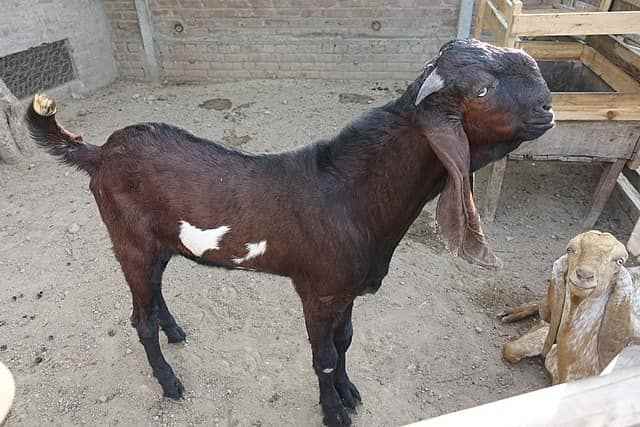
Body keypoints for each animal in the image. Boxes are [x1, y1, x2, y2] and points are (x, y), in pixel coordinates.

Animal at [26, 39, 553, 426]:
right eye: (482, 89)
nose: (549, 107)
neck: (350, 196)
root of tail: (99, 153)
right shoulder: (317, 290)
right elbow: (324, 355)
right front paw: (334, 412)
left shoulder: (346, 291)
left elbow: (345, 342)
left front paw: (350, 392)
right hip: (129, 241)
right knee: (140, 319)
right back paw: (170, 383)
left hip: (159, 245)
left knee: (154, 295)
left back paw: (176, 332)